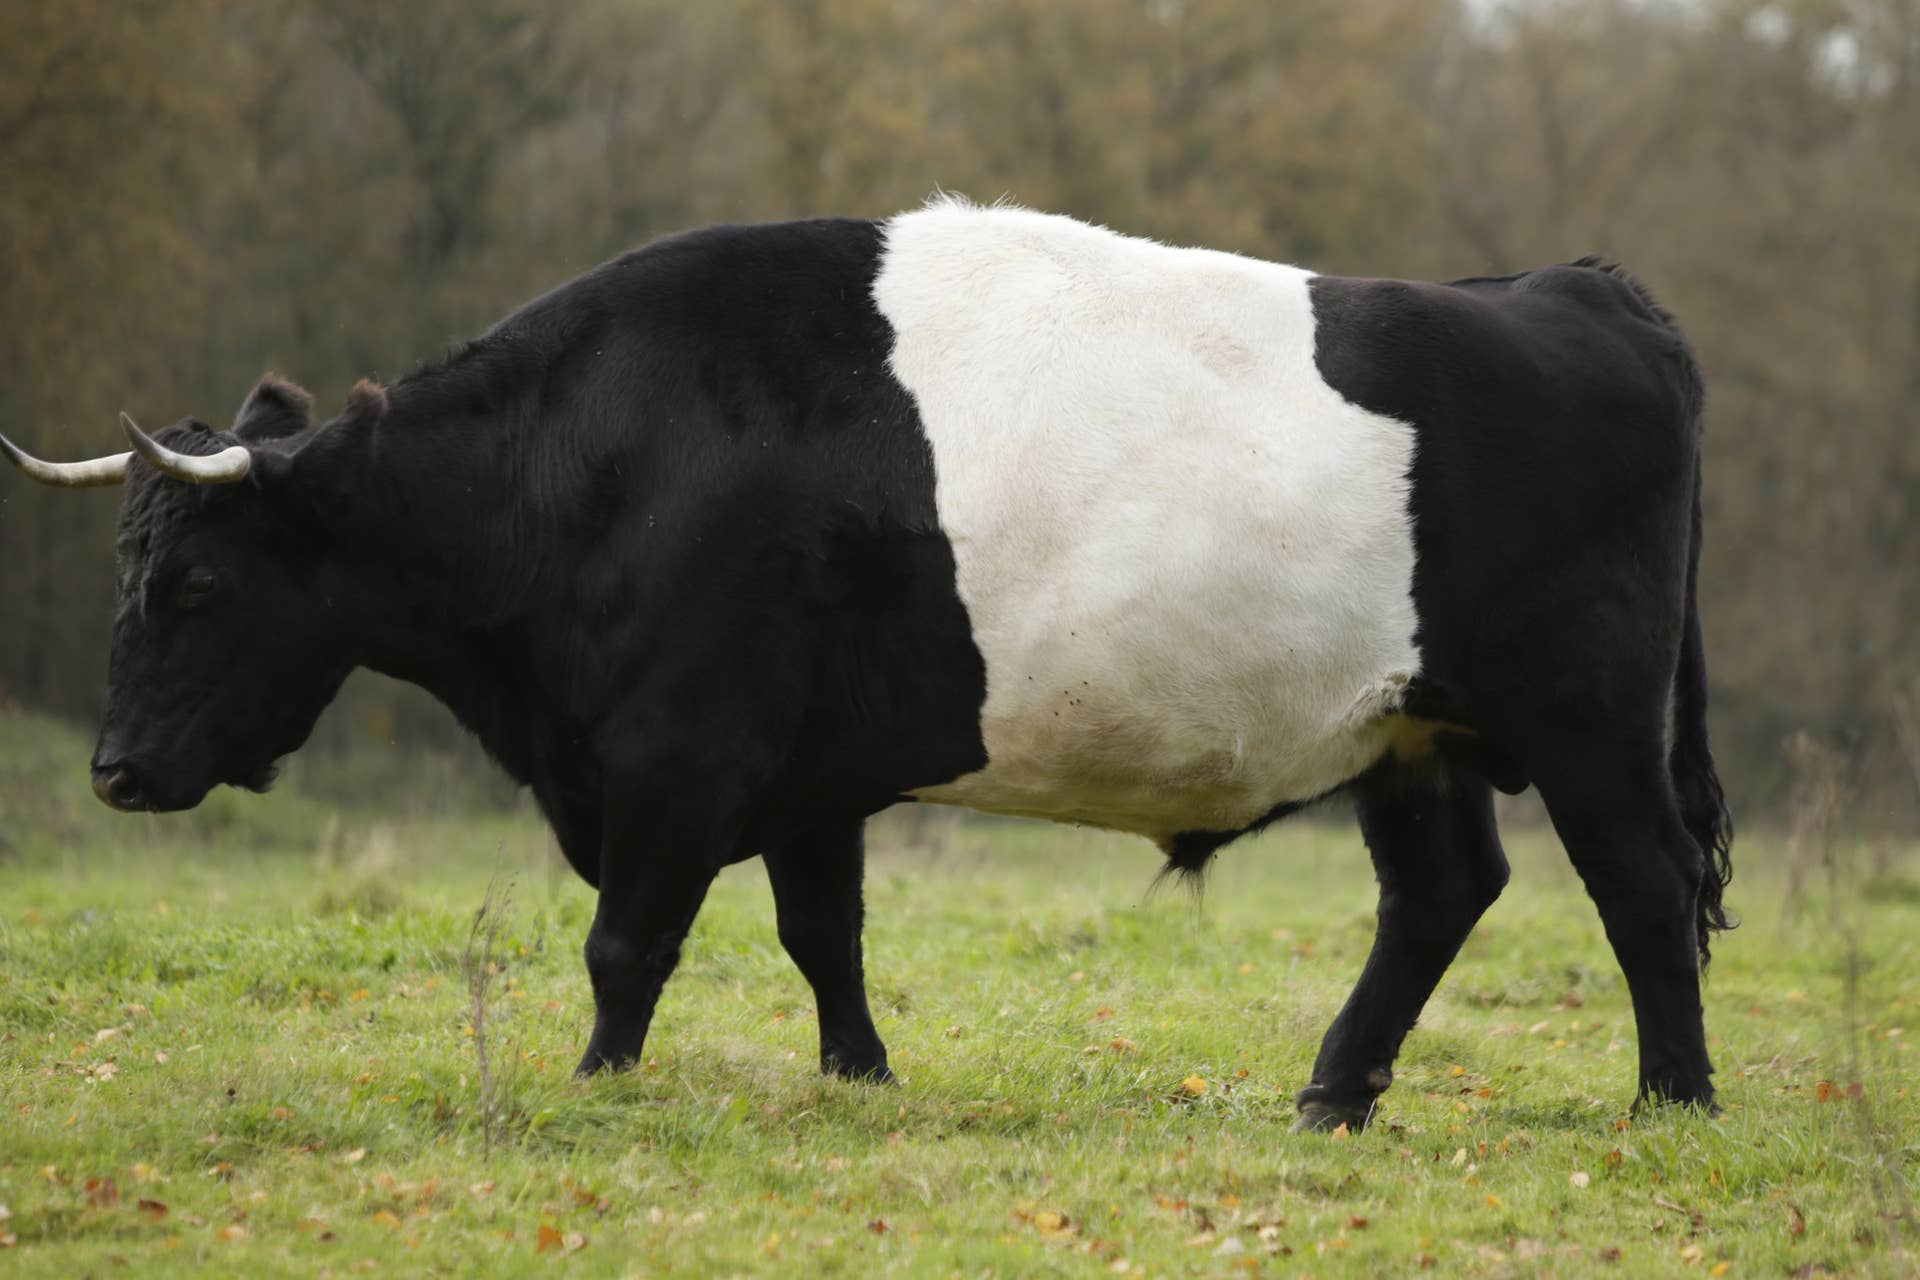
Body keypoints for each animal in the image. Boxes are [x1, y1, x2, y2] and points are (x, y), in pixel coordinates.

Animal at [1, 199, 1732, 1130]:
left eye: (198, 583)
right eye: (132, 571)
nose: (115, 772)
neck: (606, 454)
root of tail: (1579, 290)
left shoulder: (680, 755)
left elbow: (628, 945)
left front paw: (597, 1084)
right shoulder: (805, 775)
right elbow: (820, 937)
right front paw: (862, 1079)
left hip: (1589, 721)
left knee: (1643, 890)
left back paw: (1675, 1096)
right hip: (1404, 731)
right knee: (1442, 895)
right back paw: (1332, 1091)